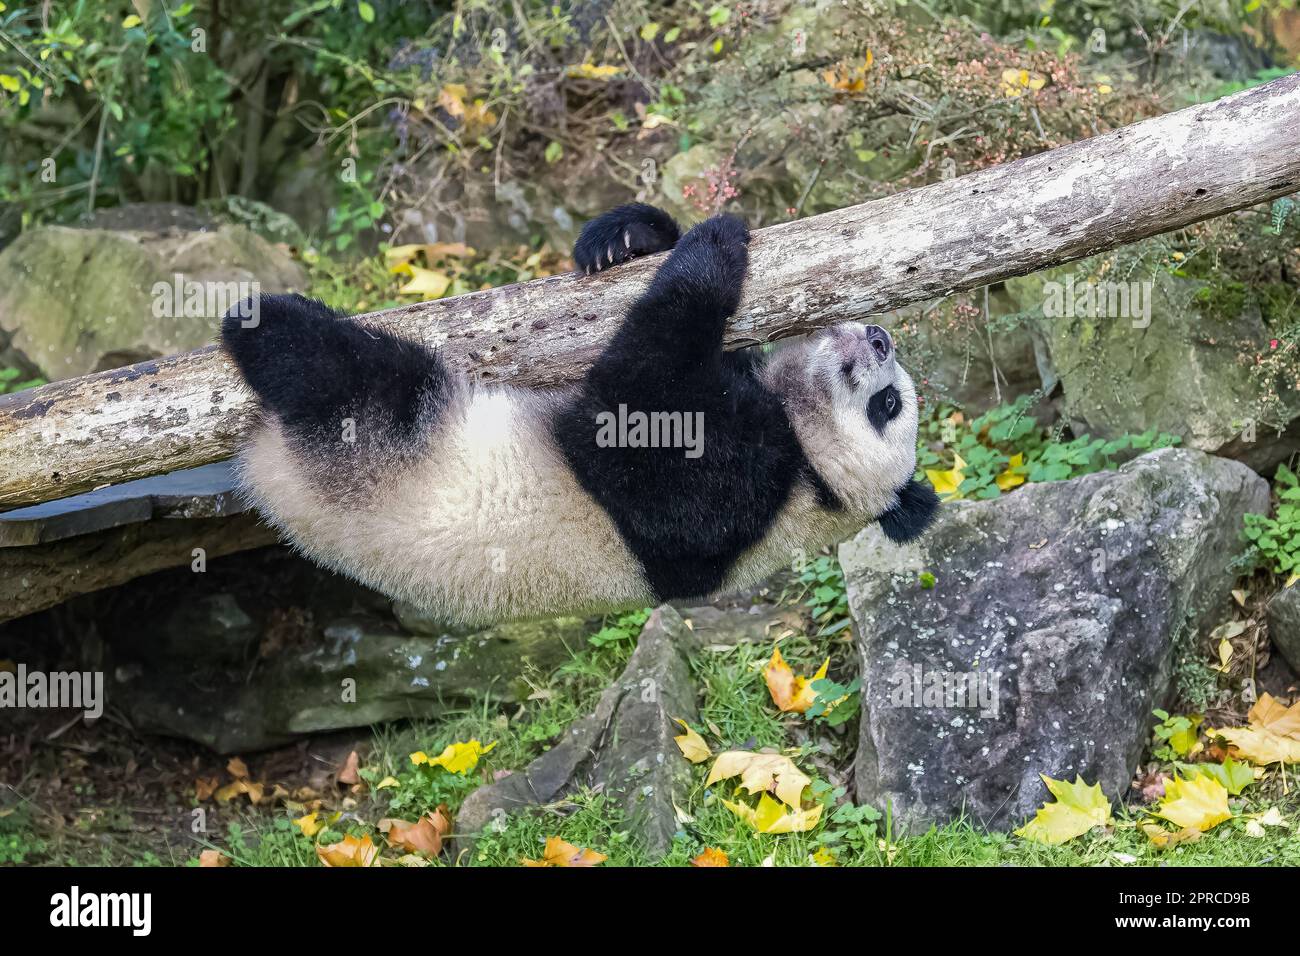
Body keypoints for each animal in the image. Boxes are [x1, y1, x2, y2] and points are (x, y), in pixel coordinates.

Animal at [220, 203, 938, 625]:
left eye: (888, 405)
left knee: (349, 377)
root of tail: (269, 487)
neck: (819, 485)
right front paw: (625, 237)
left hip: (381, 450)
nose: (880, 338)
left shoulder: (733, 495)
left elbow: (633, 405)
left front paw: (714, 244)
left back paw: (260, 321)